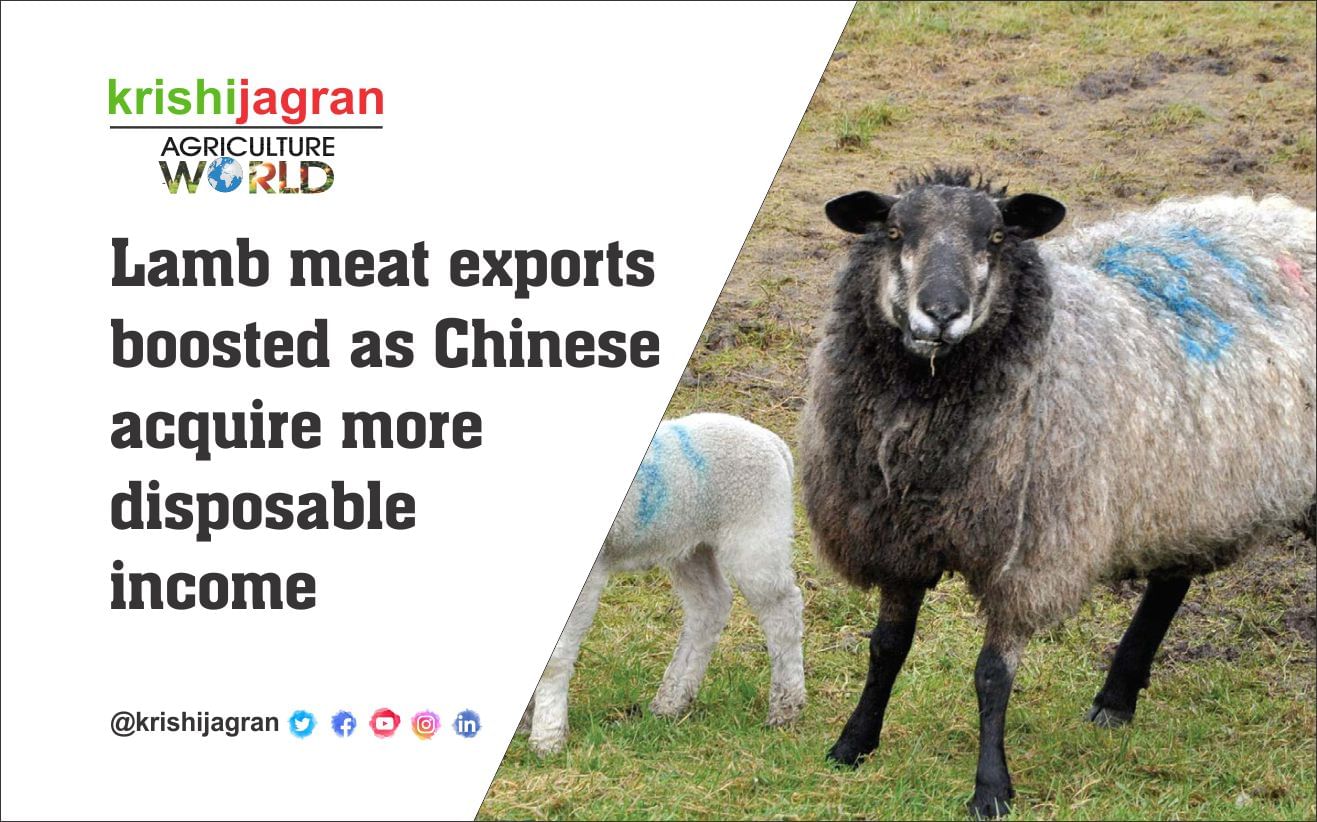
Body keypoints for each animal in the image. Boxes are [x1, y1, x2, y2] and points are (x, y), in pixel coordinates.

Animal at [523, 412, 805, 755]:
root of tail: (773, 443)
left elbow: (555, 655)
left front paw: (547, 736)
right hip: (690, 544)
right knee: (709, 605)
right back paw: (671, 701)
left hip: (757, 530)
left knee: (781, 610)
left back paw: (785, 707)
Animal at [799, 167, 1316, 818]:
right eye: (894, 231)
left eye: (995, 237)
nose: (941, 313)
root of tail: (1293, 218)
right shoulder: (897, 537)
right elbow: (886, 646)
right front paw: (854, 743)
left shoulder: (1030, 554)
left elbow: (992, 674)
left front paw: (991, 789)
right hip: (1186, 478)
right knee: (1171, 579)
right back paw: (1117, 698)